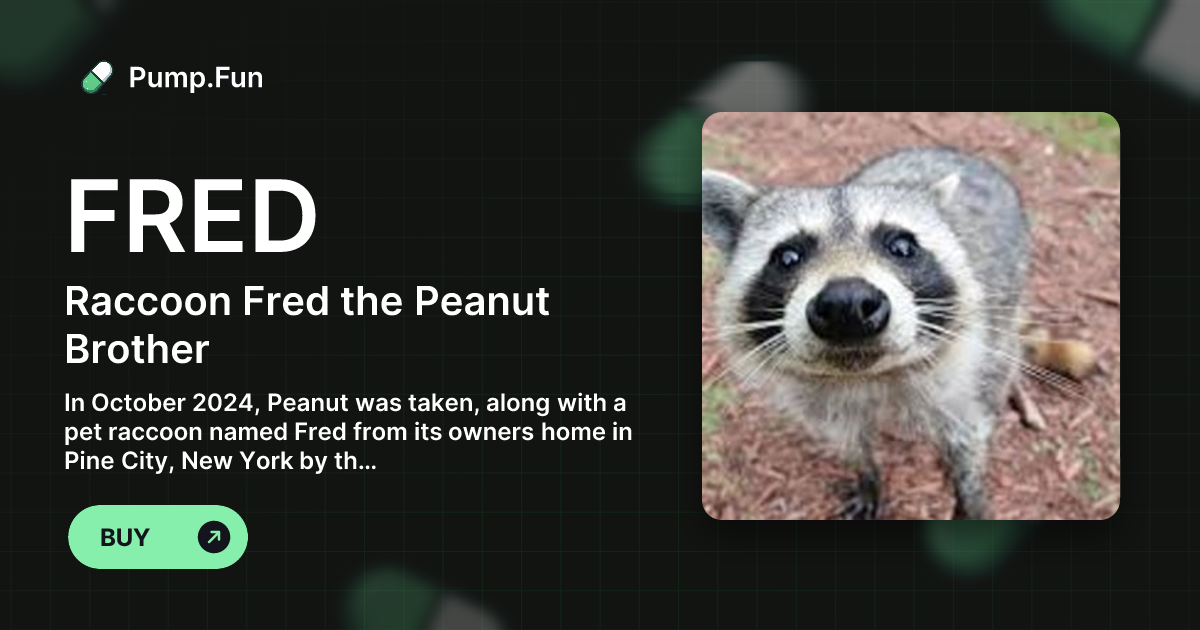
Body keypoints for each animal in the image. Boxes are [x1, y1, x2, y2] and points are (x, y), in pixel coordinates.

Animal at [703, 147, 1030, 520]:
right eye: (787, 257)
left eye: (902, 247)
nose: (847, 304)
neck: (868, 376)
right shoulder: (819, 402)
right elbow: (847, 440)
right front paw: (867, 475)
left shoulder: (973, 364)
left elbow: (970, 430)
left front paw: (969, 487)